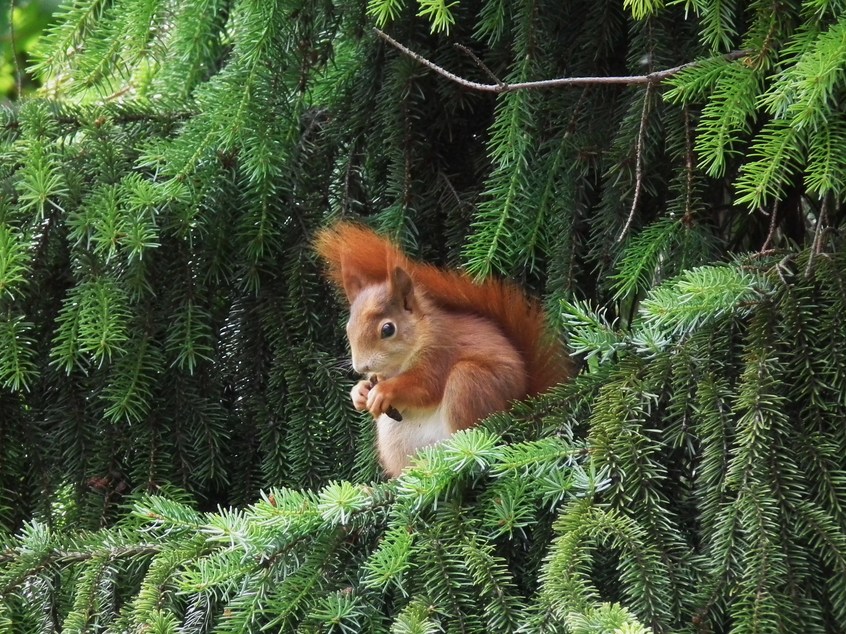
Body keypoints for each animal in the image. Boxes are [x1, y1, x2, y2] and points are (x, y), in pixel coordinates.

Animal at [314, 221, 571, 477]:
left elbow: (426, 385)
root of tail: (523, 404)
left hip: (469, 384)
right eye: (348, 326)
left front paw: (385, 391)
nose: (361, 367)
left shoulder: (440, 352)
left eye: (388, 329)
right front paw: (358, 392)